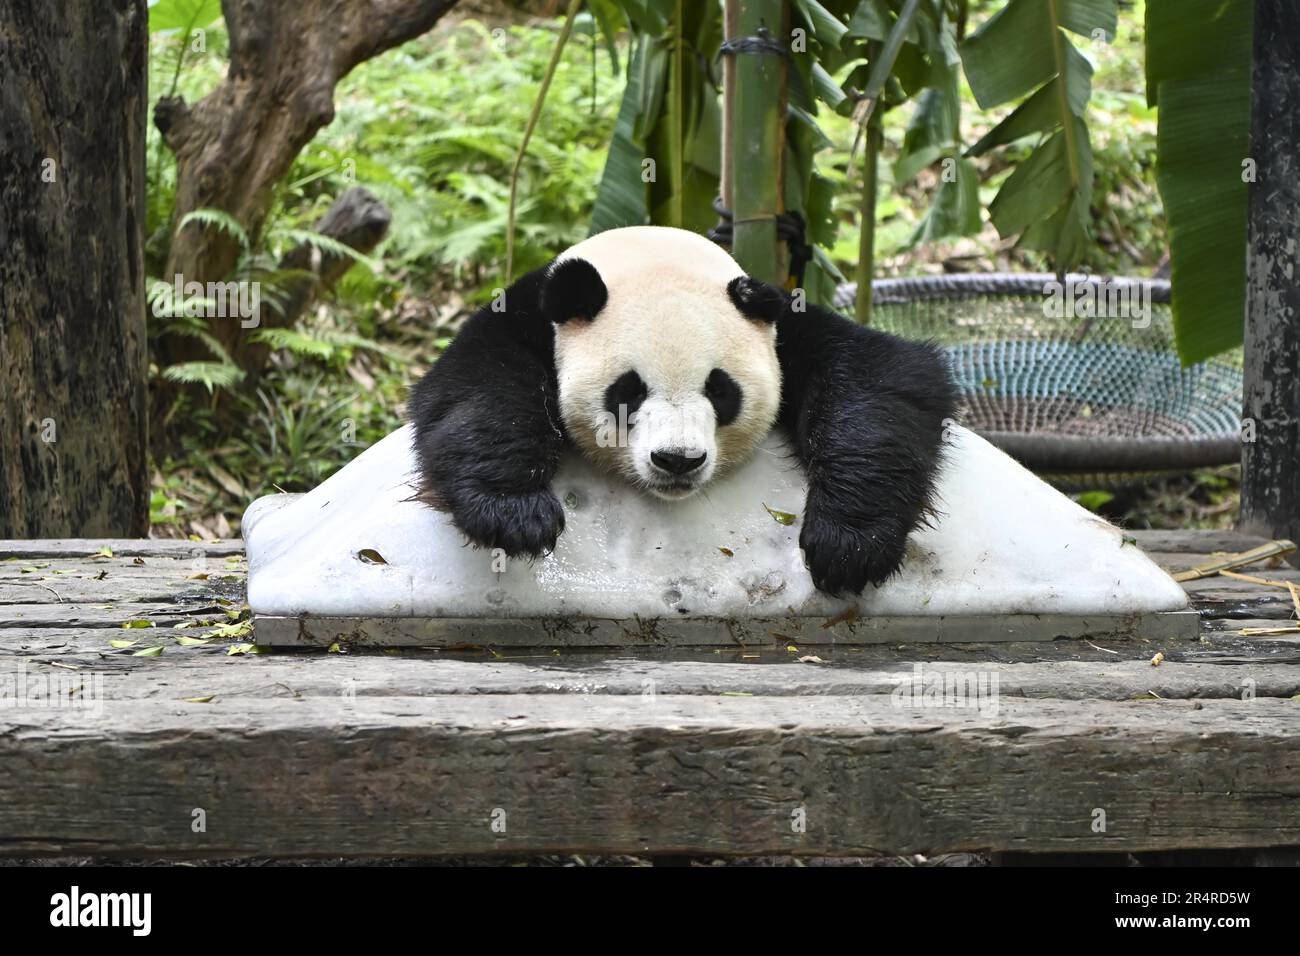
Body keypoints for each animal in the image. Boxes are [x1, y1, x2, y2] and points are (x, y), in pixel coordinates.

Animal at [408, 226, 956, 596]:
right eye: (628, 392)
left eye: (720, 390)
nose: (677, 460)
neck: (649, 254)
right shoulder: (527, 319)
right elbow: (480, 389)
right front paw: (514, 514)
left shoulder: (788, 328)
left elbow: (878, 382)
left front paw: (848, 544)